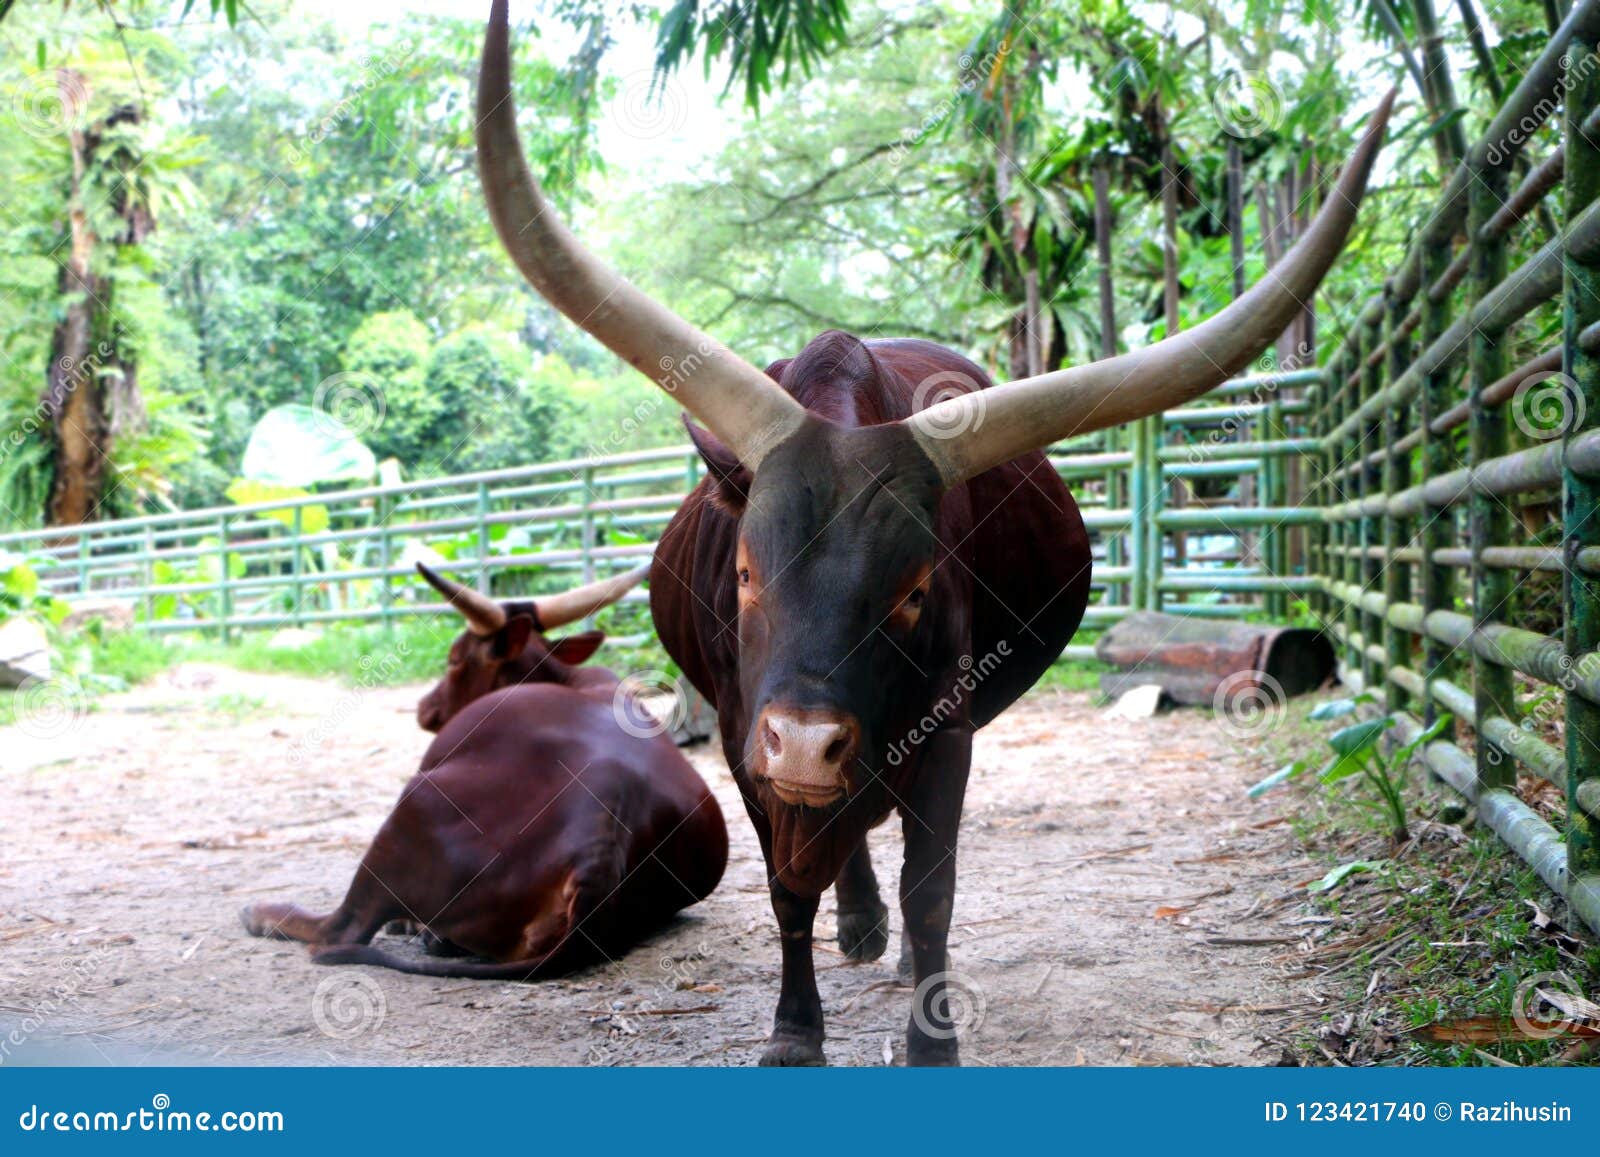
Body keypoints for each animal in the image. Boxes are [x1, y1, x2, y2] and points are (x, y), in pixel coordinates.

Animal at [241, 562, 729, 978]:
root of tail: (601, 842)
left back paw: (266, 915)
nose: (425, 706)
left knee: (342, 927)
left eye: (455, 658)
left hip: (414, 801)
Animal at [475, 0, 1392, 1062]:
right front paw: (795, 1030)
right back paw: (857, 918)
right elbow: (787, 890)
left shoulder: (946, 734)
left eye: (915, 589)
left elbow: (934, 889)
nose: (807, 743)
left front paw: (932, 1036)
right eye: (744, 572)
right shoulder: (745, 739)